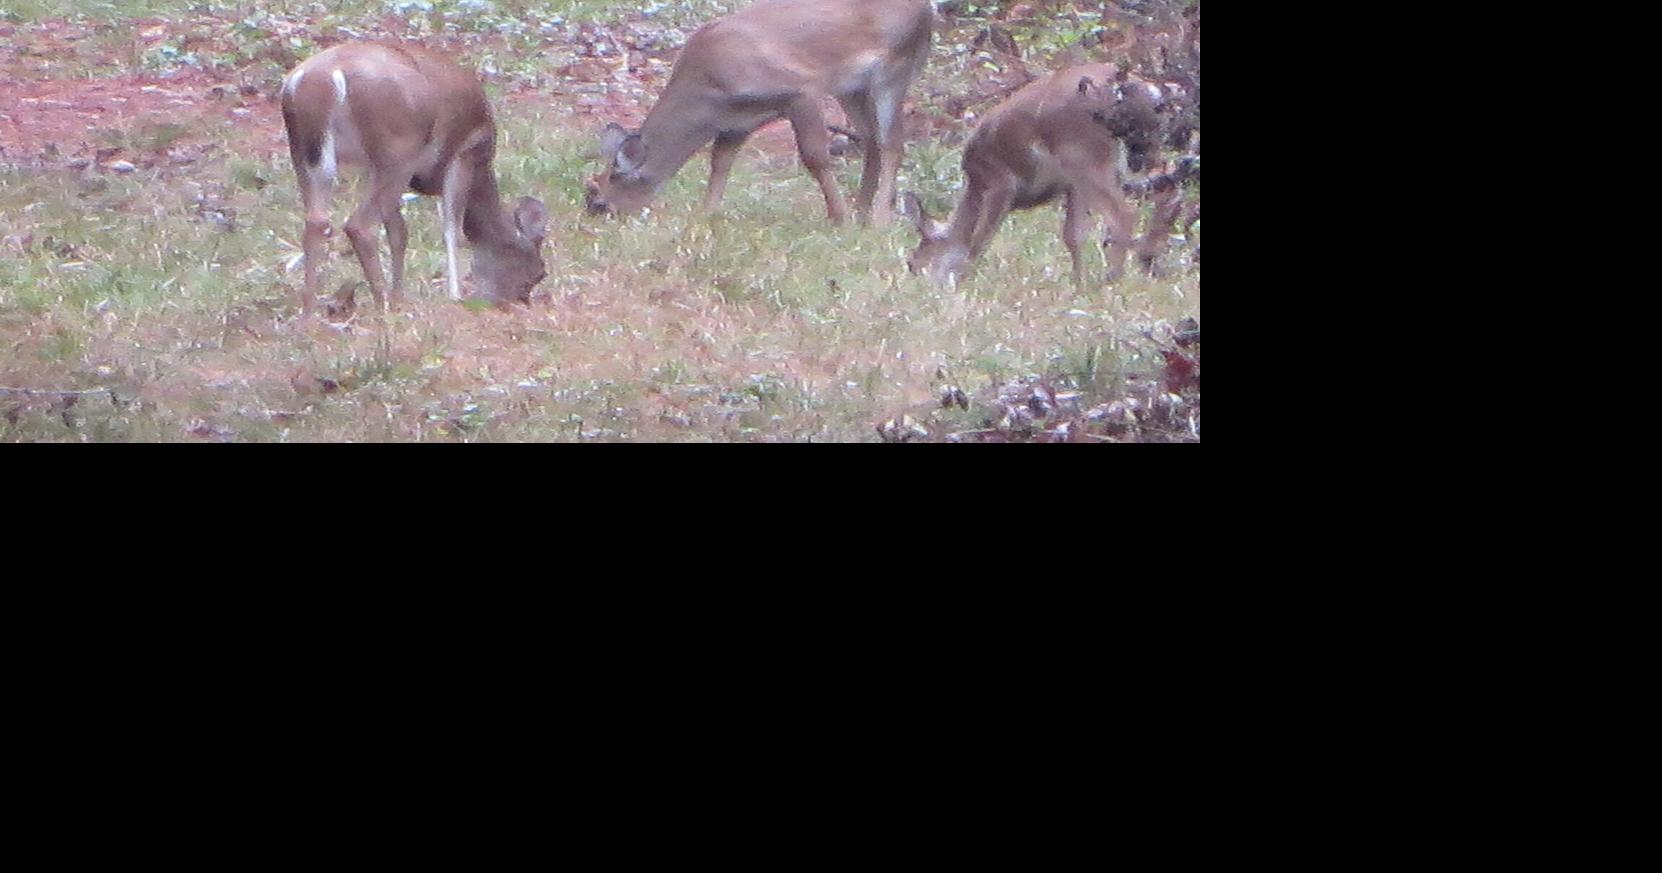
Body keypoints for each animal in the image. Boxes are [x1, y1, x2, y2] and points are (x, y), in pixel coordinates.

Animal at [280, 42, 549, 316]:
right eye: (538, 273)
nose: (517, 303)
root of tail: (321, 79)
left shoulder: (373, 169)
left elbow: (399, 231)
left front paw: (400, 296)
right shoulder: (465, 152)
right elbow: (451, 228)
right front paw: (454, 296)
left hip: (304, 151)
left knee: (316, 221)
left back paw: (310, 312)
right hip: (398, 150)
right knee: (357, 225)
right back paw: (381, 304)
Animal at [584, 0, 934, 228]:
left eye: (599, 201)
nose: (591, 223)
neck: (709, 92)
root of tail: (927, 10)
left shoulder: (800, 90)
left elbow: (815, 158)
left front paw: (838, 218)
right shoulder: (736, 123)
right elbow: (720, 163)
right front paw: (705, 214)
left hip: (895, 68)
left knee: (892, 143)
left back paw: (878, 220)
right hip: (851, 88)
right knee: (871, 140)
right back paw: (862, 212)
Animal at [902, 63, 1189, 288]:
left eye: (912, 263)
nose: (924, 286)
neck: (975, 183)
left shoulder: (1000, 182)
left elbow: (979, 238)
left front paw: (964, 279)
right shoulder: (1070, 185)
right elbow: (1073, 234)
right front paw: (1078, 283)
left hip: (1084, 154)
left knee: (1124, 212)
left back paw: (1112, 279)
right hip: (1143, 145)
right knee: (1170, 191)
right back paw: (1148, 260)